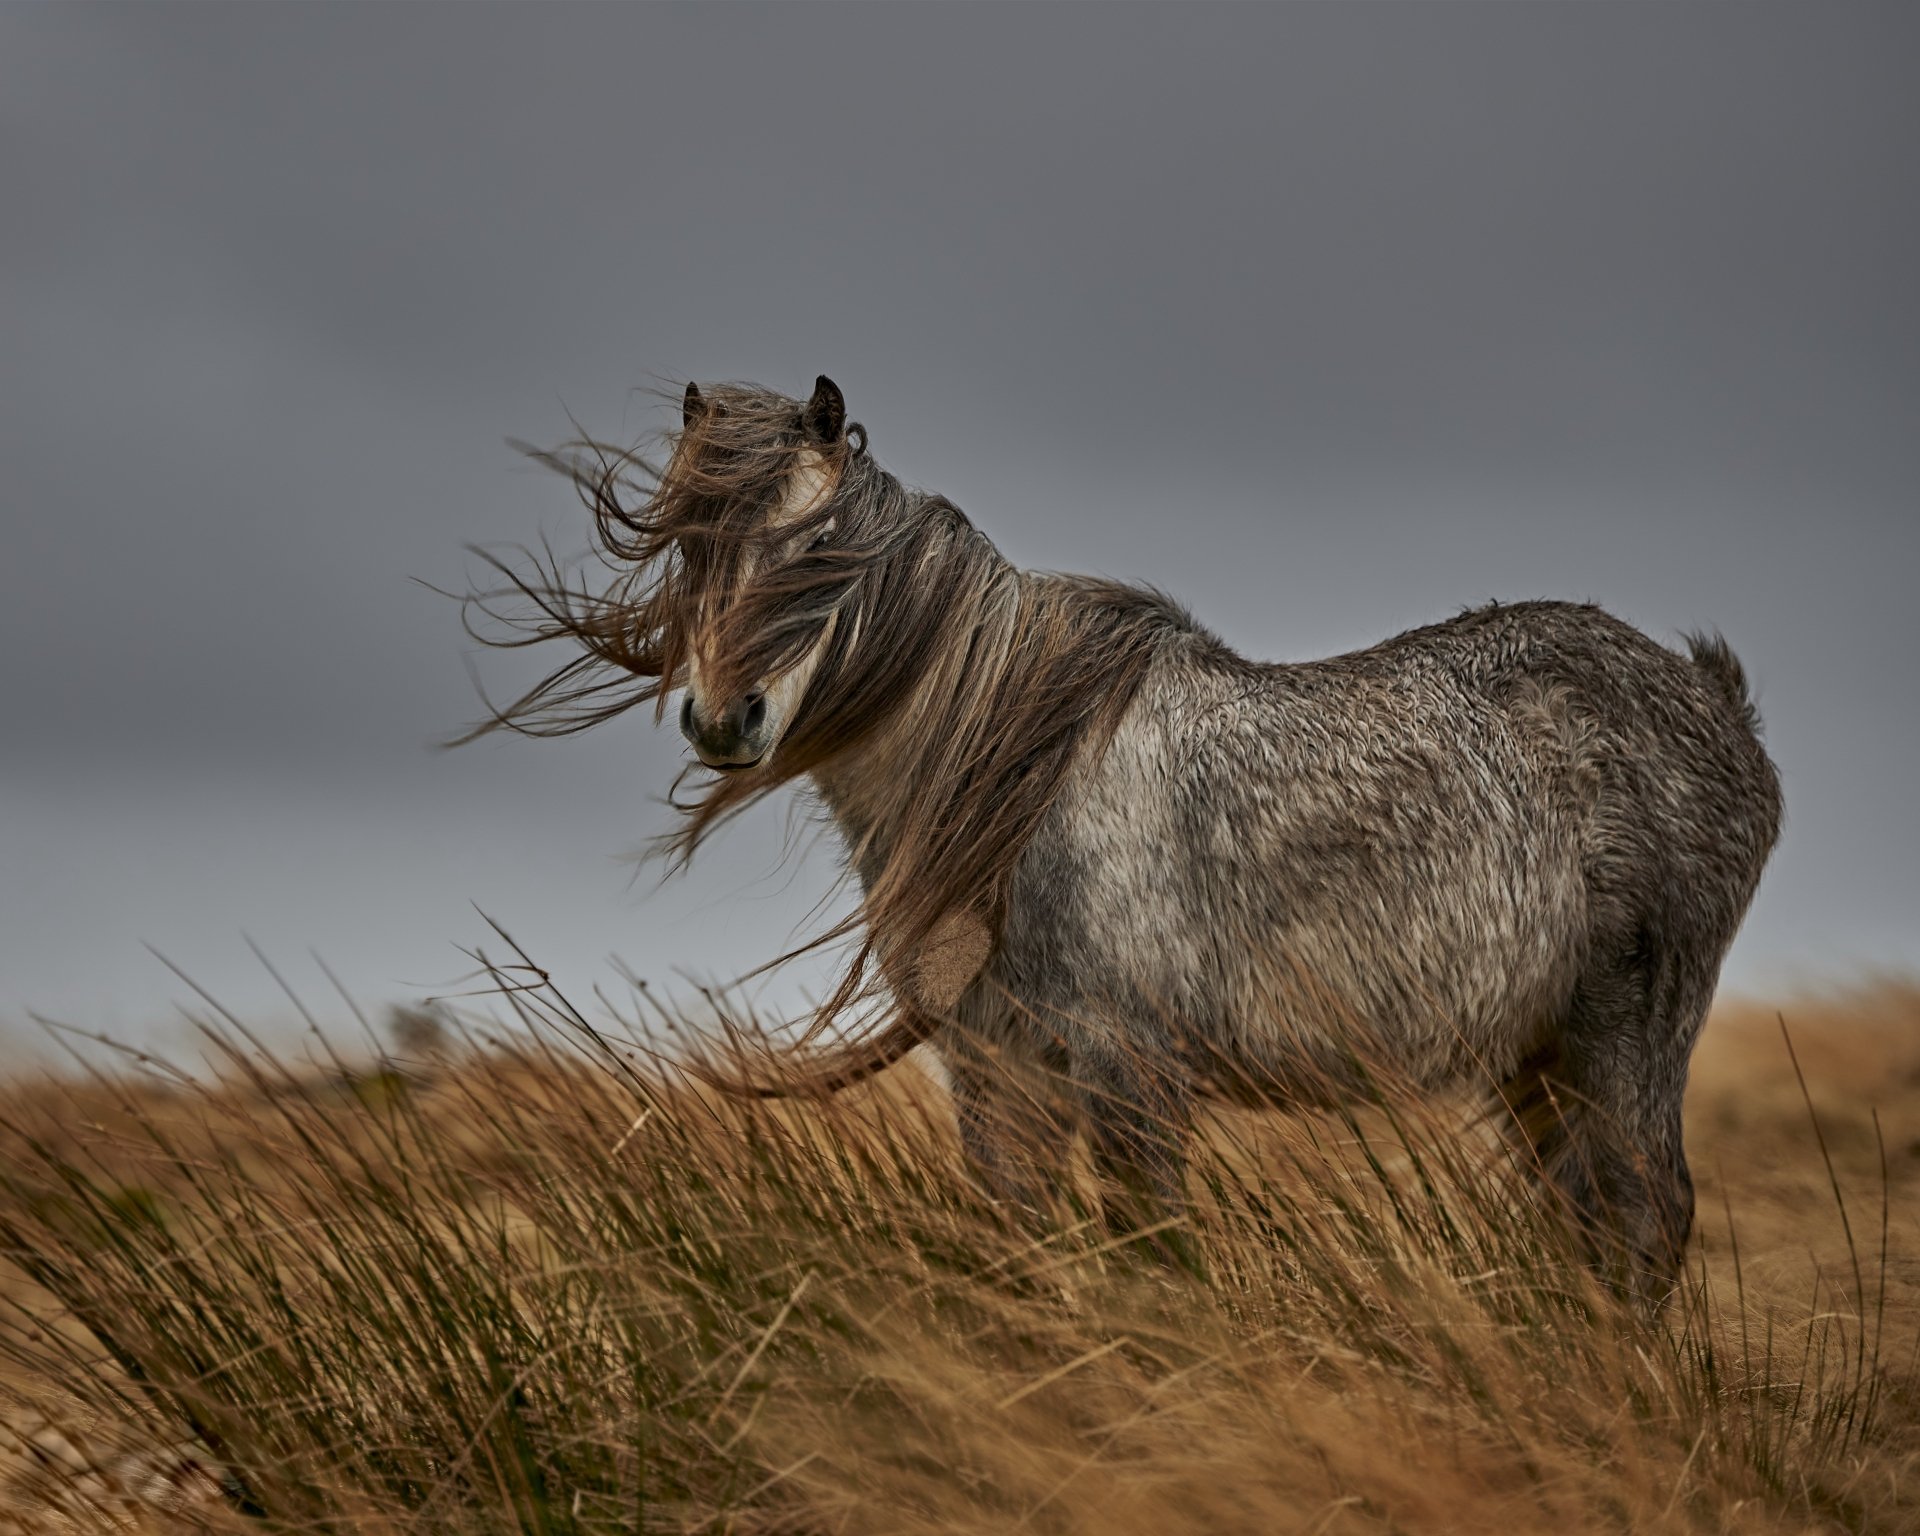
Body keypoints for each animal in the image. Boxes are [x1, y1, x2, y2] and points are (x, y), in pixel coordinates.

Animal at [463, 374, 1782, 1296]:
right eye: (693, 543)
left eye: (822, 552)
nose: (724, 720)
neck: (1017, 777)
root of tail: (1718, 702)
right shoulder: (996, 1071)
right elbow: (1022, 1254)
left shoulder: (1130, 1068)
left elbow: (1157, 1271)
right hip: (1539, 1057)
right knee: (1588, 1233)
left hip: (1620, 1039)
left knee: (1647, 1223)